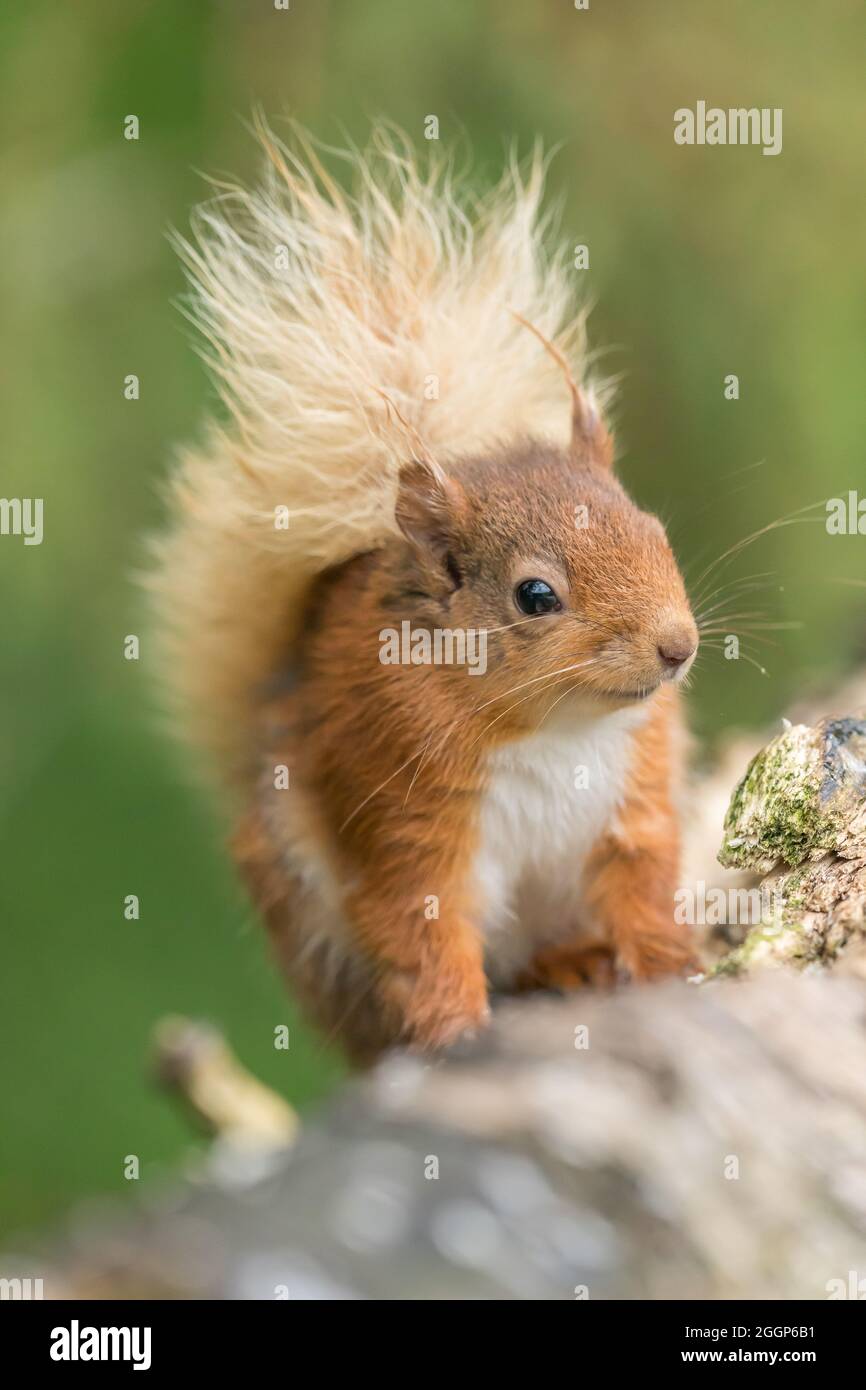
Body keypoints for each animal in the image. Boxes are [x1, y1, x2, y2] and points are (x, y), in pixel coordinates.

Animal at [151, 123, 700, 1064]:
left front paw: (673, 967)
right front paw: (456, 1035)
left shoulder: (637, 789)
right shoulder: (398, 806)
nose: (679, 648)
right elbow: (421, 936)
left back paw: (574, 961)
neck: (554, 728)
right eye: (535, 596)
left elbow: (644, 883)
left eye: (657, 532)